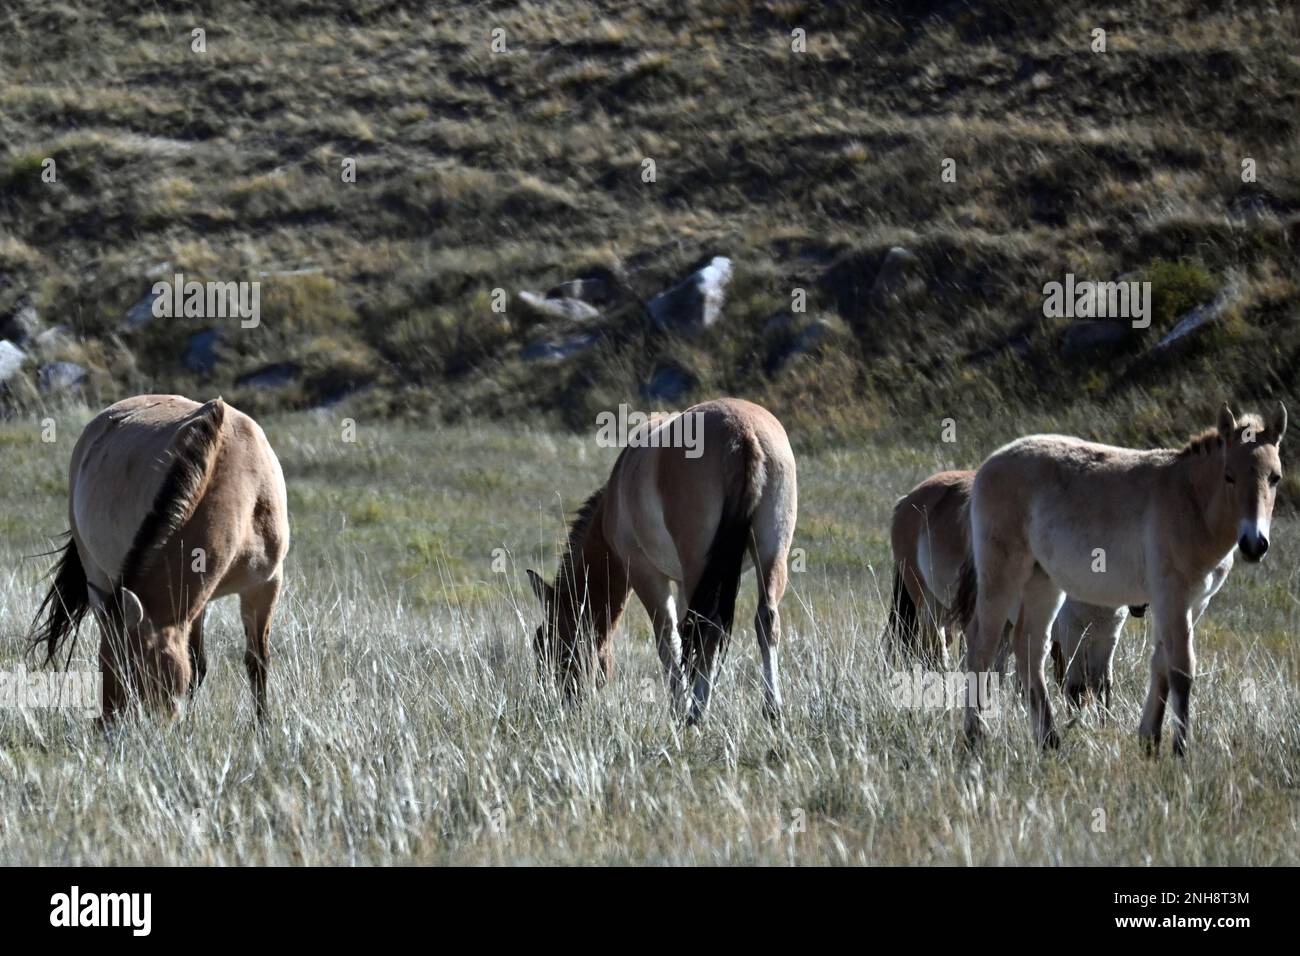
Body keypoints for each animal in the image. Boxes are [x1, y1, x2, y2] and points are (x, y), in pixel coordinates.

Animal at [29, 395, 290, 726]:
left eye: (133, 667)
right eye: (103, 662)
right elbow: (195, 666)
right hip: (97, 575)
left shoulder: (264, 586)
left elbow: (256, 660)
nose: (106, 724)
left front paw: (262, 727)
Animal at [527, 397, 797, 724]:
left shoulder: (646, 574)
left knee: (708, 629)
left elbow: (668, 639)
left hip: (698, 567)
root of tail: (743, 431)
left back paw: (697, 712)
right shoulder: (681, 584)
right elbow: (681, 635)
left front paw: (680, 706)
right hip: (771, 556)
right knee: (765, 620)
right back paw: (772, 709)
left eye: (548, 645)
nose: (565, 702)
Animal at [956, 402, 1285, 755]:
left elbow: (1161, 665)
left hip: (1041, 581)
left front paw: (1149, 741)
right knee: (981, 647)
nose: (1254, 544)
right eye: (1229, 476)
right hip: (1001, 575)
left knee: (1029, 646)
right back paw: (975, 736)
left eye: (1275, 478)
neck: (1189, 501)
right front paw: (1180, 750)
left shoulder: (1194, 602)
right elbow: (1181, 669)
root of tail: (989, 463)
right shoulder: (1173, 597)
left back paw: (1049, 740)